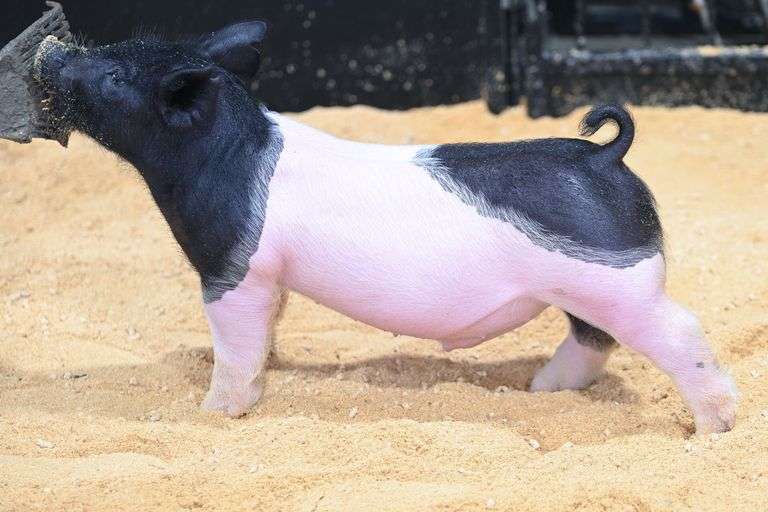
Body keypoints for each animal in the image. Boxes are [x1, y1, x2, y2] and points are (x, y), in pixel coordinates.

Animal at [33, 21, 738, 433]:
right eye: (114, 49)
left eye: (113, 76)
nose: (57, 56)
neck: (221, 156)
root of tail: (602, 155)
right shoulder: (269, 280)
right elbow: (267, 335)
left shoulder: (233, 268)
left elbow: (236, 348)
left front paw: (214, 413)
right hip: (586, 288)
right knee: (593, 338)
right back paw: (538, 390)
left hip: (620, 283)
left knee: (679, 332)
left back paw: (714, 428)